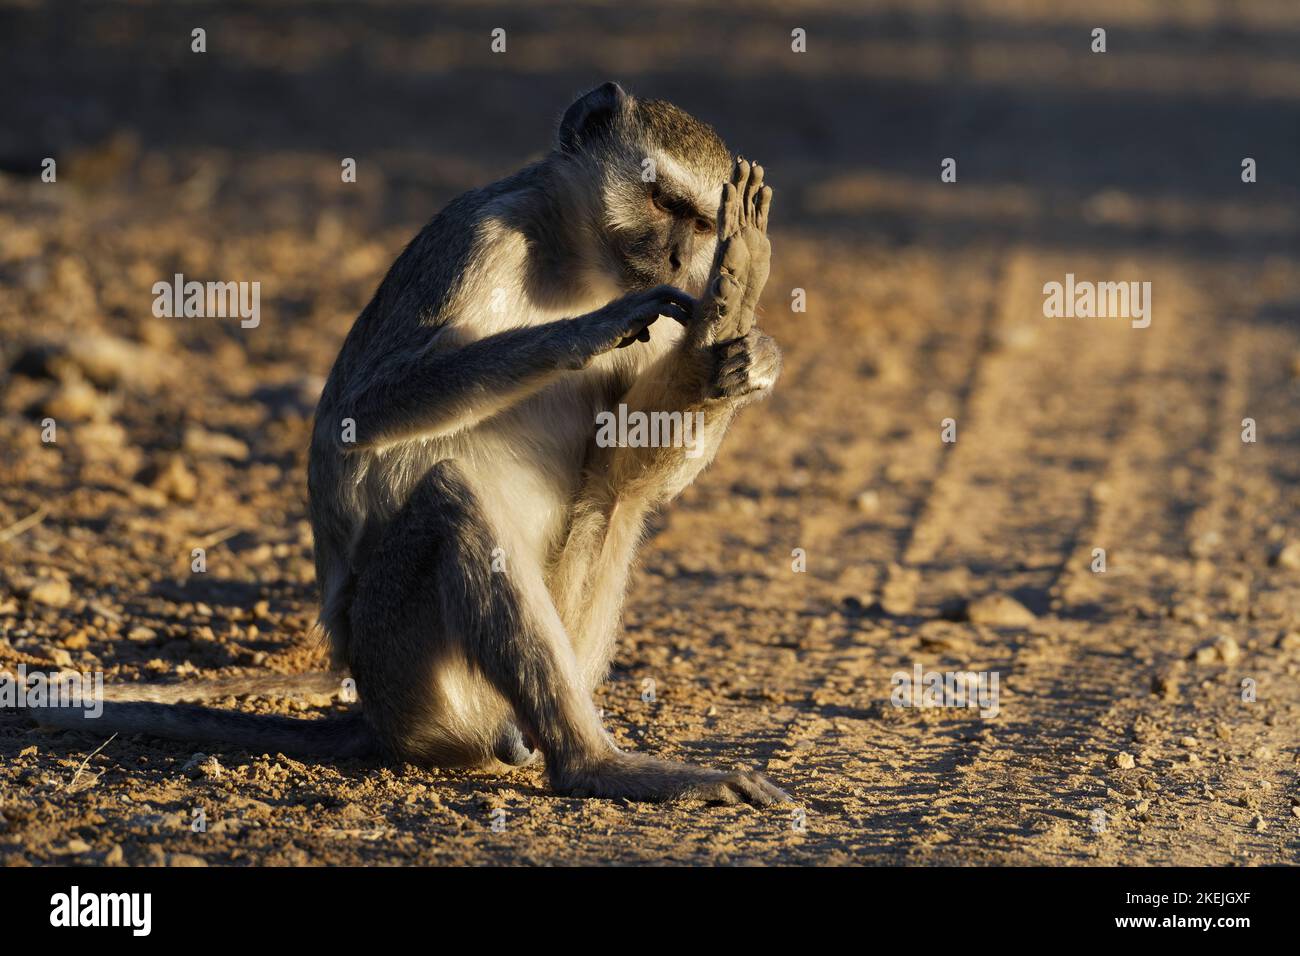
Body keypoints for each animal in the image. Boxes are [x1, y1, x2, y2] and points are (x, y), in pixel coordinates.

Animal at [35, 83, 788, 806]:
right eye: (660, 199)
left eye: (700, 223)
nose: (678, 257)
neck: (574, 258)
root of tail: (369, 706)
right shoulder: (478, 239)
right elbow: (359, 411)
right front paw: (589, 329)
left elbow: (624, 460)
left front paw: (732, 342)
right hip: (401, 663)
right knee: (454, 500)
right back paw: (591, 766)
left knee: (616, 498)